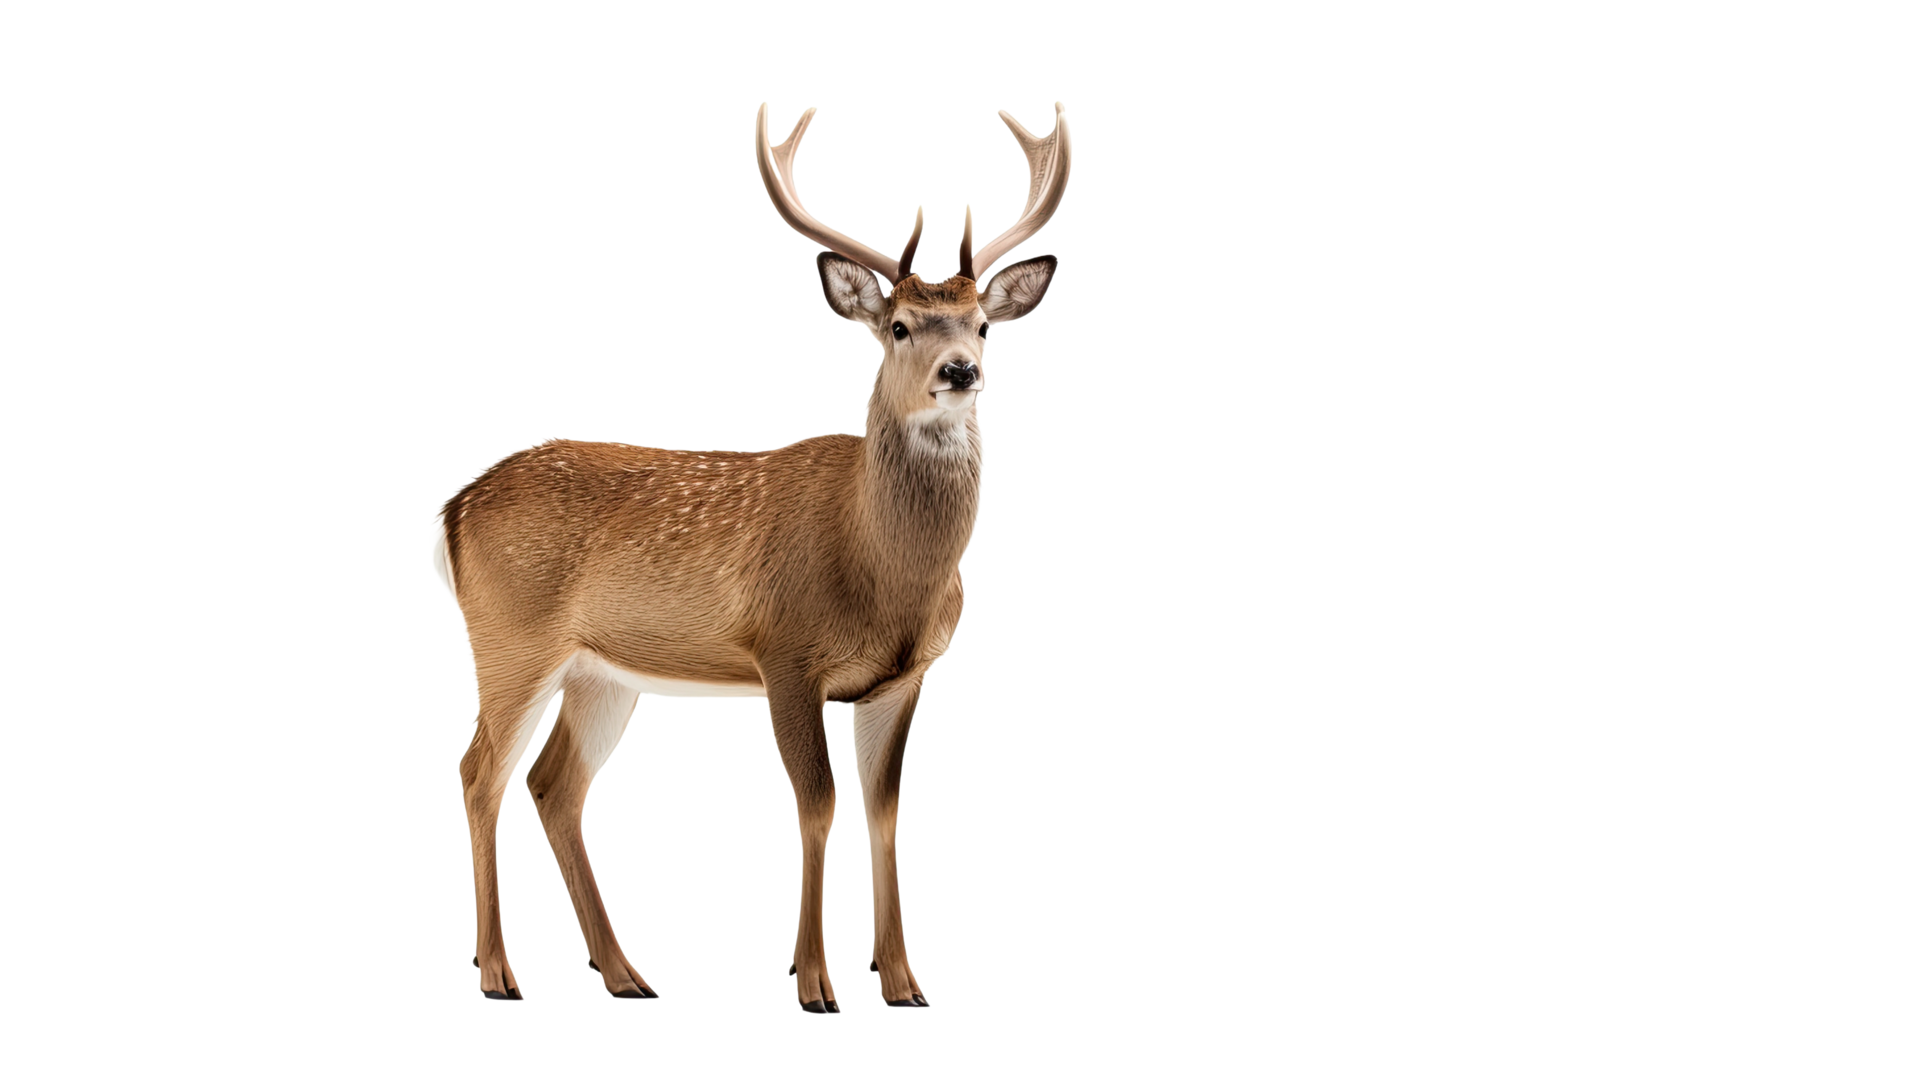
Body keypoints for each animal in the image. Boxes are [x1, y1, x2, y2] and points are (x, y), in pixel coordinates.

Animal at [427, 98, 1073, 1013]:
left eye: (985, 326)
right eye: (898, 327)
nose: (961, 370)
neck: (882, 569)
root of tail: (451, 507)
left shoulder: (907, 675)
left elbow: (885, 809)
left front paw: (903, 981)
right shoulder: (787, 653)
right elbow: (818, 804)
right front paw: (814, 983)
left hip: (601, 672)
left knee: (554, 785)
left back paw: (626, 975)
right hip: (508, 637)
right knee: (479, 769)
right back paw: (499, 973)